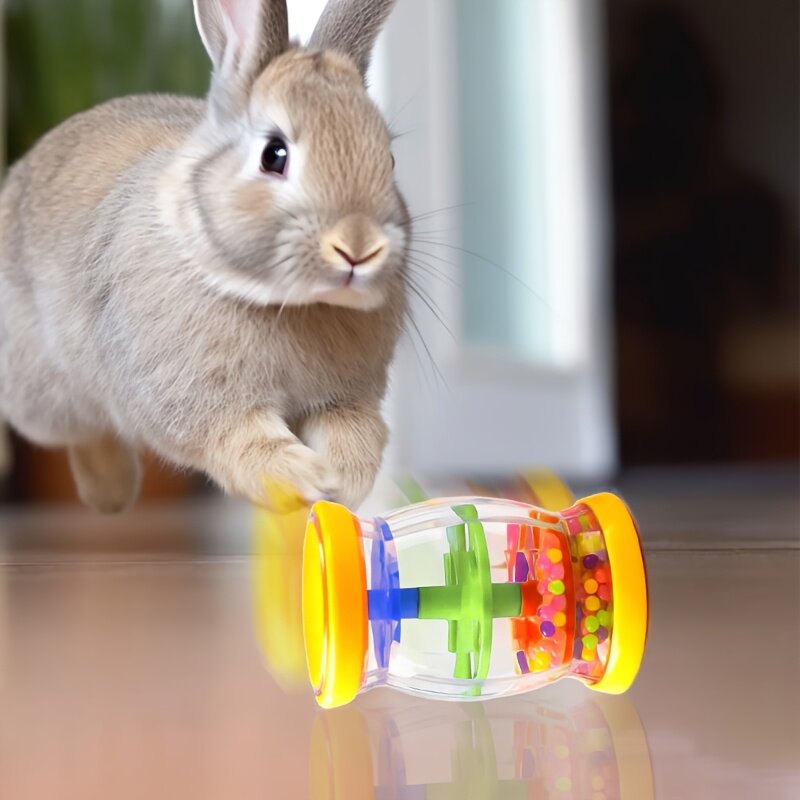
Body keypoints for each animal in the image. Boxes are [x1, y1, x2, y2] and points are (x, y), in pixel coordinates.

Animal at [0, 0, 409, 513]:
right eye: (274, 155)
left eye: (389, 160)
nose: (358, 247)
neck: (287, 302)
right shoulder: (202, 403)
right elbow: (244, 441)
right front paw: (304, 478)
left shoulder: (347, 398)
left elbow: (354, 433)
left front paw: (343, 482)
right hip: (46, 399)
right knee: (82, 431)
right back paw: (106, 492)